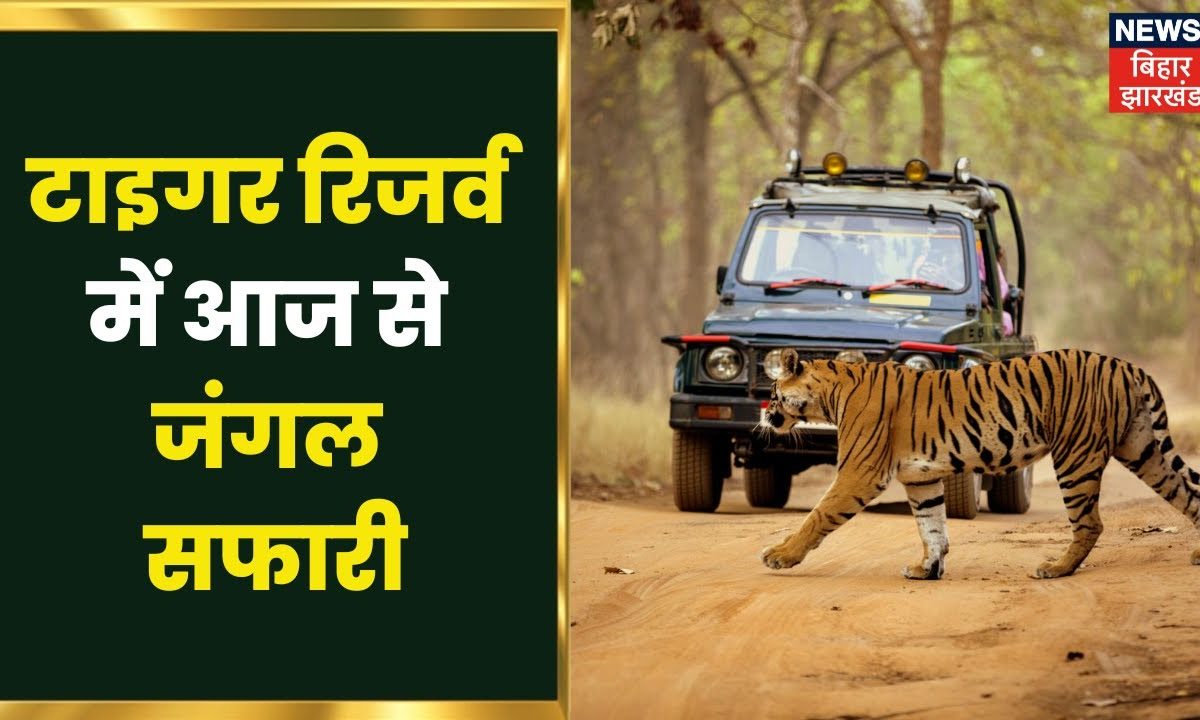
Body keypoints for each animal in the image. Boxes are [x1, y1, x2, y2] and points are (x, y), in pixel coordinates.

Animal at [758, 348, 1200, 580]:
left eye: (774, 391)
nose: (764, 414)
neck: (831, 394)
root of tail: (1129, 366)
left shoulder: (859, 473)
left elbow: (818, 515)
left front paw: (780, 555)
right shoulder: (921, 479)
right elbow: (931, 526)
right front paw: (927, 569)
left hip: (1077, 454)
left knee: (1090, 522)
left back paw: (1056, 568)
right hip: (1144, 450)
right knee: (1189, 492)